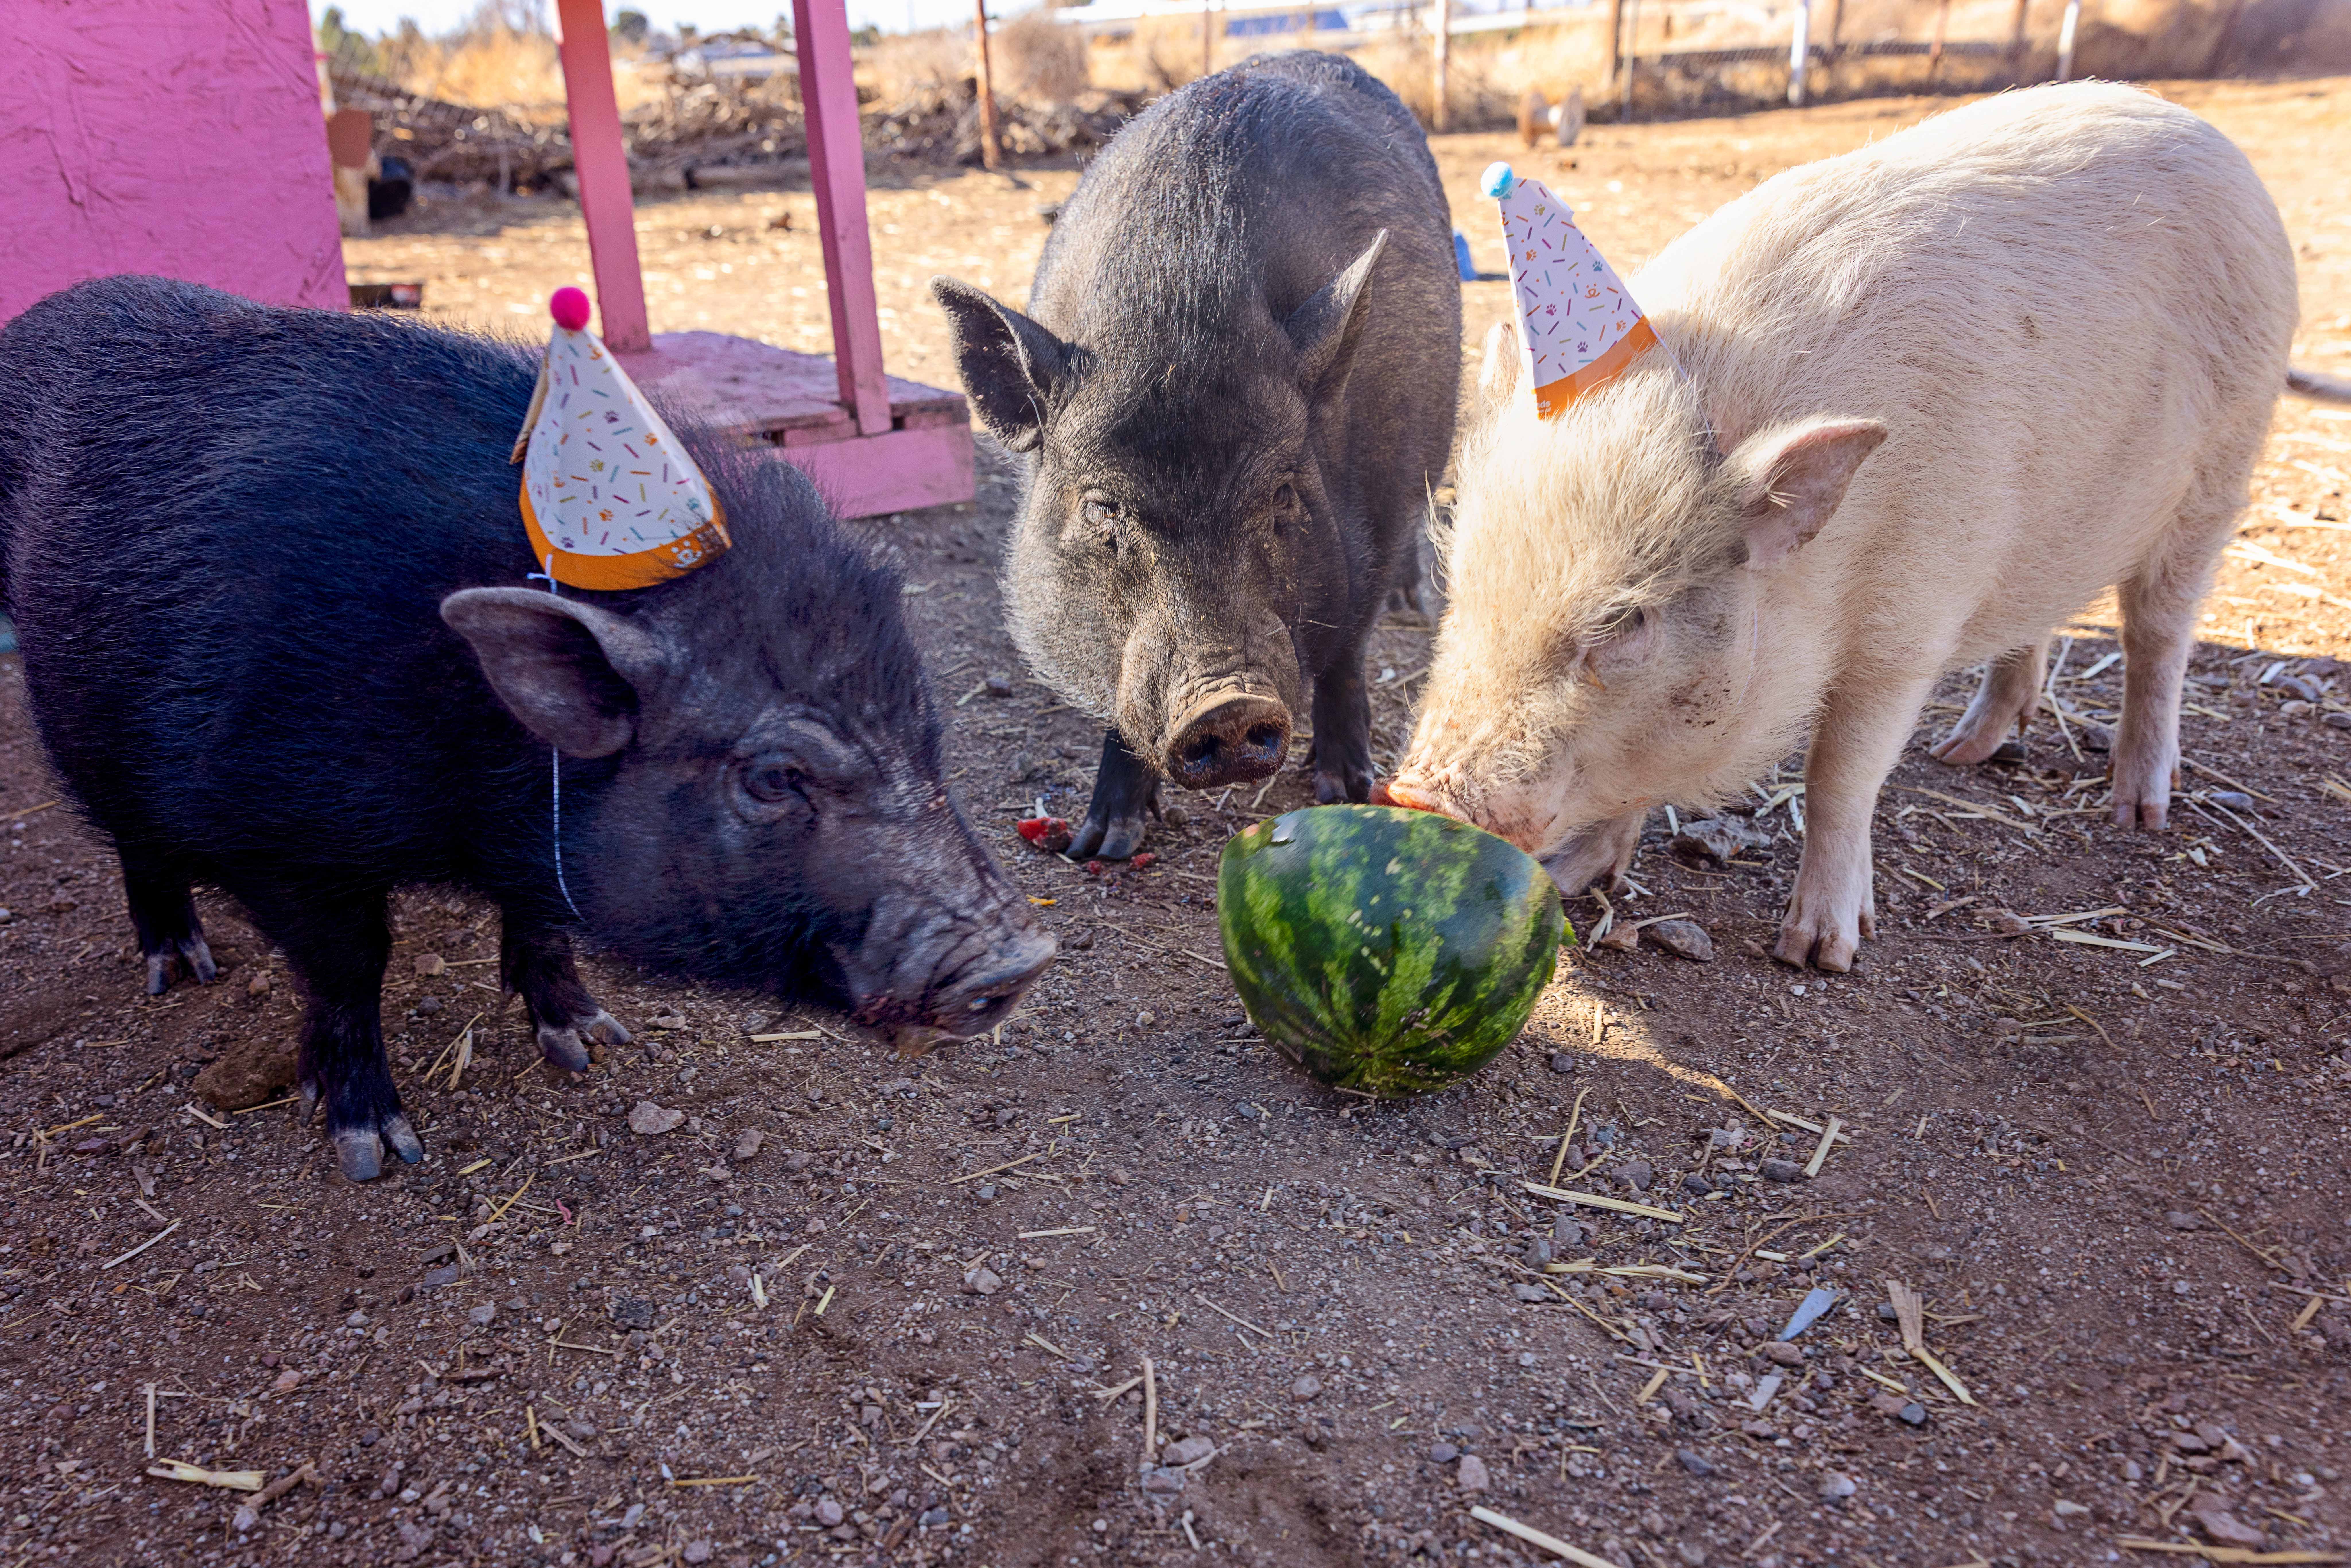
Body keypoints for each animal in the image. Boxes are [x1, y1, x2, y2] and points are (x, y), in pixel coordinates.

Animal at [0, 275, 1054, 1178]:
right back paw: (181, 968)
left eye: (927, 732)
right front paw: (377, 1151)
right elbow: (348, 966)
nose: (1022, 957)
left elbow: (543, 917)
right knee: (134, 842)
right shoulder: (278, 832)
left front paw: (591, 1044)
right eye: (770, 778)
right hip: (79, 722)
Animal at [929, 50, 1460, 859]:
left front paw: (1347, 789)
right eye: (1100, 507)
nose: (1228, 706)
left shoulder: (1375, 508)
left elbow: (1346, 651)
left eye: (1282, 494)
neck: (1179, 309)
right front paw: (1103, 845)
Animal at [1387, 84, 2299, 971]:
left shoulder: (1909, 629)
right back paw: (1962, 753)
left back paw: (2135, 811)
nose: (1415, 792)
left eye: (1626, 620)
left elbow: (1840, 775)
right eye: (1460, 580)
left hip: (2223, 470)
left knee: (2159, 637)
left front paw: (1817, 953)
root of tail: (2209, 135)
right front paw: (1568, 876)